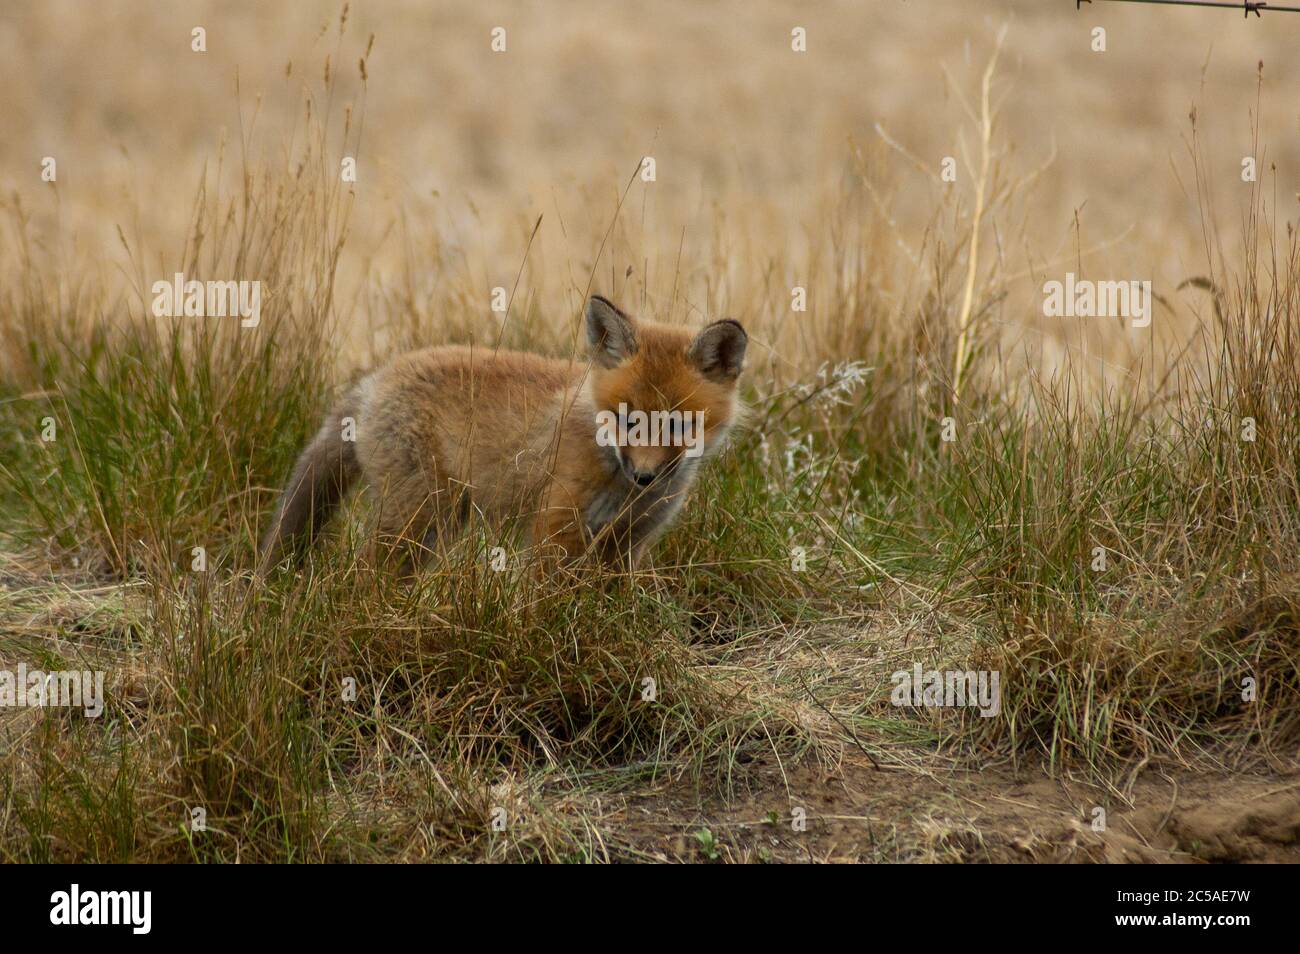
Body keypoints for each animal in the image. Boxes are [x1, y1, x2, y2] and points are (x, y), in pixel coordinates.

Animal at [257, 295, 748, 574]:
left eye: (680, 425)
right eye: (625, 419)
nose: (644, 478)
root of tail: (376, 377)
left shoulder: (628, 544)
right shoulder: (555, 527)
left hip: (438, 524)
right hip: (418, 515)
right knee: (361, 576)